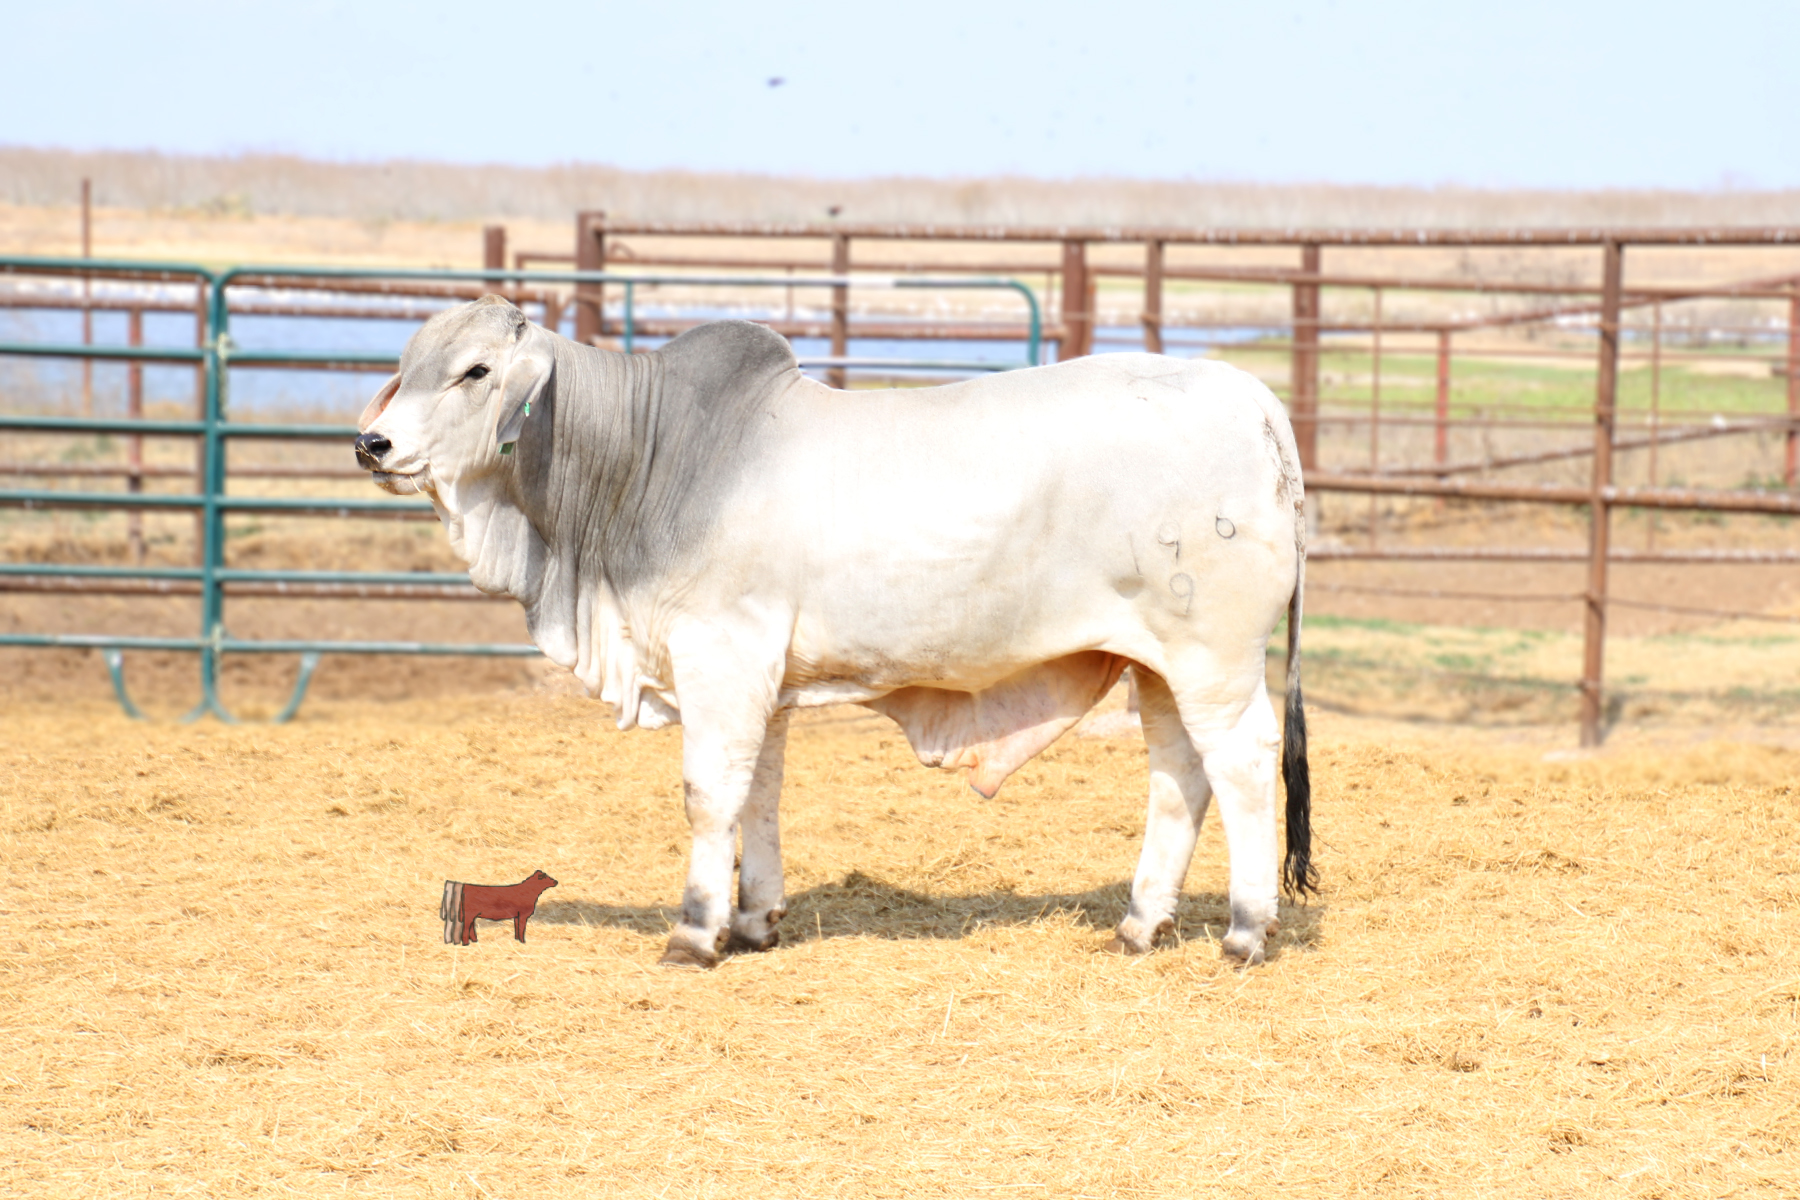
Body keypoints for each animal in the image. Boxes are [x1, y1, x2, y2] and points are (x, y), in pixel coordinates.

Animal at [356, 297, 1313, 970]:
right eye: (406, 364)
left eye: (476, 370)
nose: (372, 443)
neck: (654, 462)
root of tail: (1249, 397)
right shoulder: (765, 681)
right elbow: (760, 794)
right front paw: (754, 920)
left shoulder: (722, 659)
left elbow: (709, 795)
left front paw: (694, 932)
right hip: (1157, 665)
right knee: (1178, 776)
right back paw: (1139, 924)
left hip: (1215, 659)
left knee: (1241, 763)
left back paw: (1243, 932)